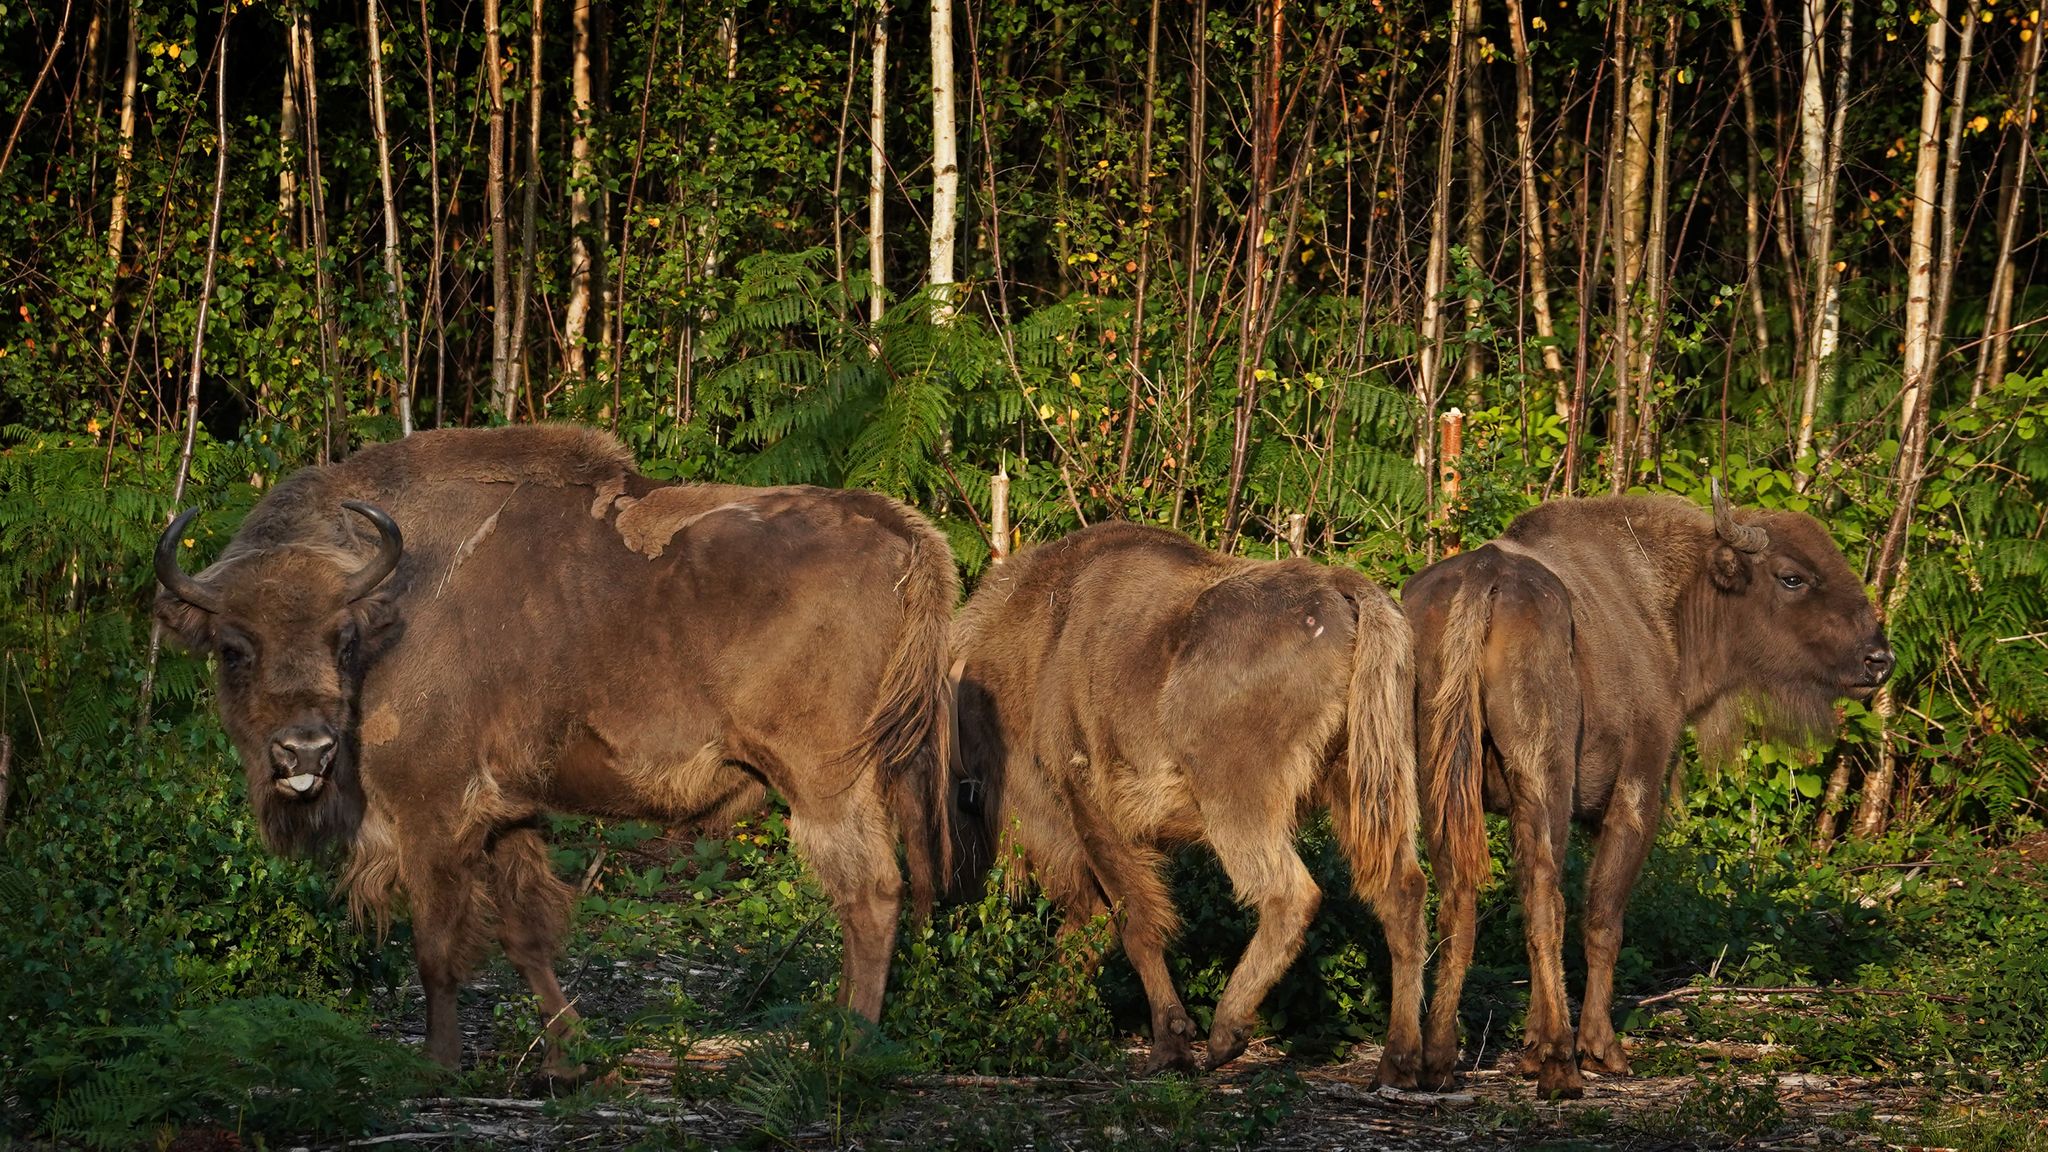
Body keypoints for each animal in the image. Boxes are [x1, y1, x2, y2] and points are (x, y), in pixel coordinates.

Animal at [152, 425, 957, 1074]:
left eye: (341, 637)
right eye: (233, 648)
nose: (304, 753)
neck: (391, 604)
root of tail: (906, 531)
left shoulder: (432, 813)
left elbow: (436, 948)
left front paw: (437, 1065)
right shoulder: (506, 815)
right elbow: (525, 936)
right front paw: (569, 1058)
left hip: (826, 786)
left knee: (869, 895)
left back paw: (847, 1049)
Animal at [948, 522, 1427, 1083]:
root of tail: (1338, 589)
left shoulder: (1090, 809)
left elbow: (1134, 924)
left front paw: (1170, 1046)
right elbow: (1095, 927)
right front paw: (1038, 1027)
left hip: (1238, 805)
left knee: (1289, 893)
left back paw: (1226, 1034)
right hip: (1364, 785)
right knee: (1402, 892)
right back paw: (1399, 1063)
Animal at [1401, 485, 1893, 1098]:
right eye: (1791, 577)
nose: (1879, 659)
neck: (1666, 602)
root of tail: (1485, 577)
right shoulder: (1637, 790)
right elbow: (1604, 919)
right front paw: (1600, 1049)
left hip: (1438, 780)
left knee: (1456, 900)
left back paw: (1439, 1059)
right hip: (1542, 778)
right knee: (1544, 899)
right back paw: (1560, 1065)